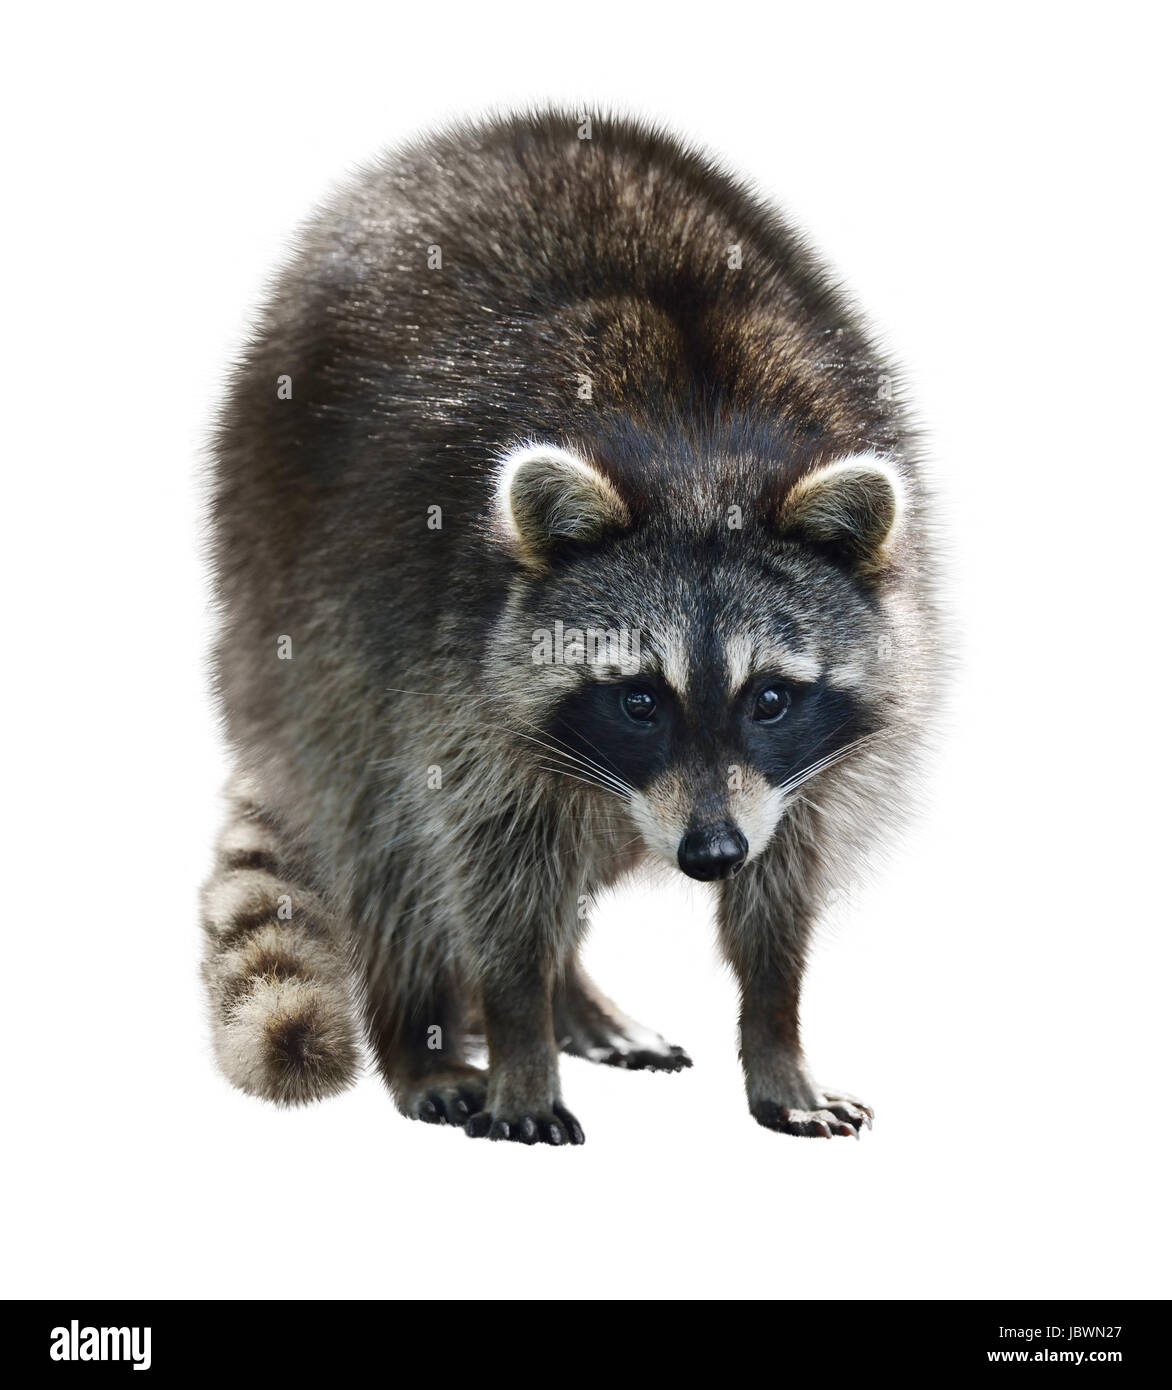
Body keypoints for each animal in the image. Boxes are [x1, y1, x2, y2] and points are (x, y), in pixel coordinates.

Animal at [202, 109, 941, 1145]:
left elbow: (784, 881)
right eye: (638, 700)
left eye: (769, 698)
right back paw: (422, 1035)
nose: (710, 856)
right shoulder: (445, 663)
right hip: (289, 585)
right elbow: (490, 871)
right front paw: (518, 1037)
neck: (697, 456)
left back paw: (574, 1000)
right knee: (383, 834)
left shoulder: (800, 765)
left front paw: (777, 1037)